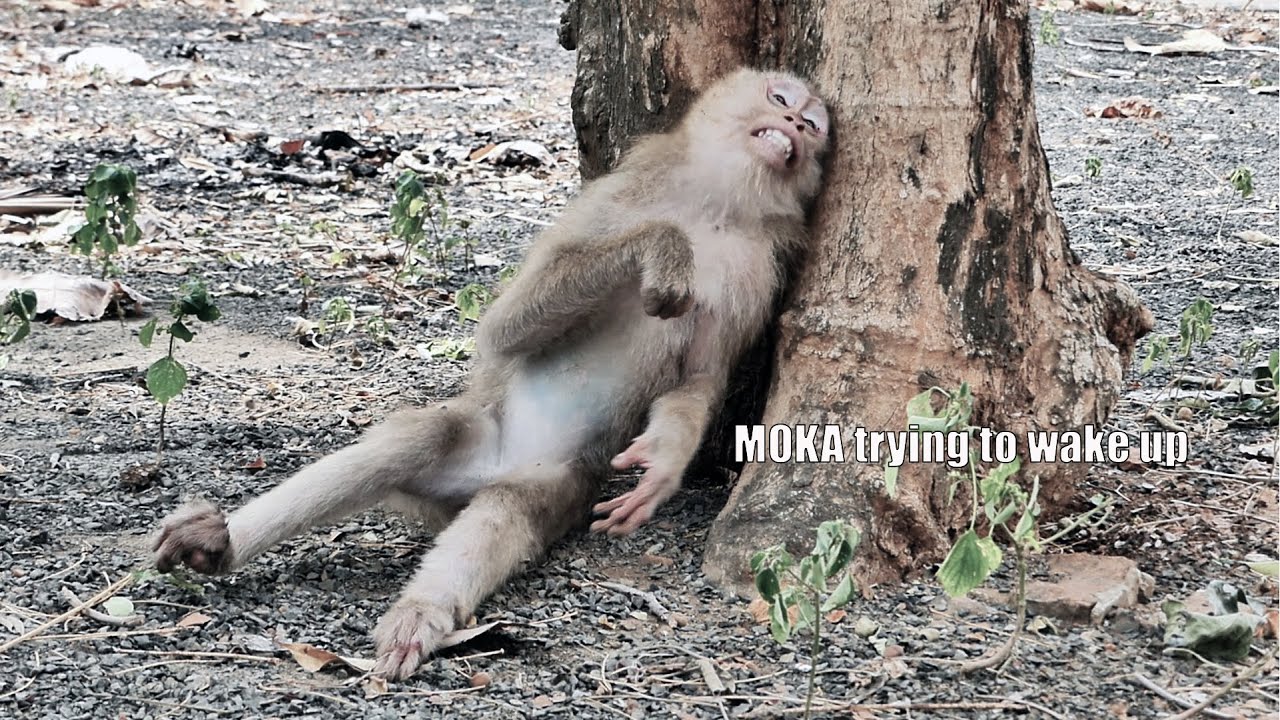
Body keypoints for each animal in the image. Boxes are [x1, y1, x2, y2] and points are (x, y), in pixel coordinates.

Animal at [153, 67, 830, 680]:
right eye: (780, 99)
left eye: (814, 126)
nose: (797, 124)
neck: (714, 207)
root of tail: (482, 474)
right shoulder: (617, 197)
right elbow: (505, 329)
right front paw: (663, 248)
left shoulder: (754, 271)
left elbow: (698, 381)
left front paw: (661, 468)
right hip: (476, 435)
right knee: (419, 440)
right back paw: (228, 540)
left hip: (557, 482)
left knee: (507, 510)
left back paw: (424, 611)